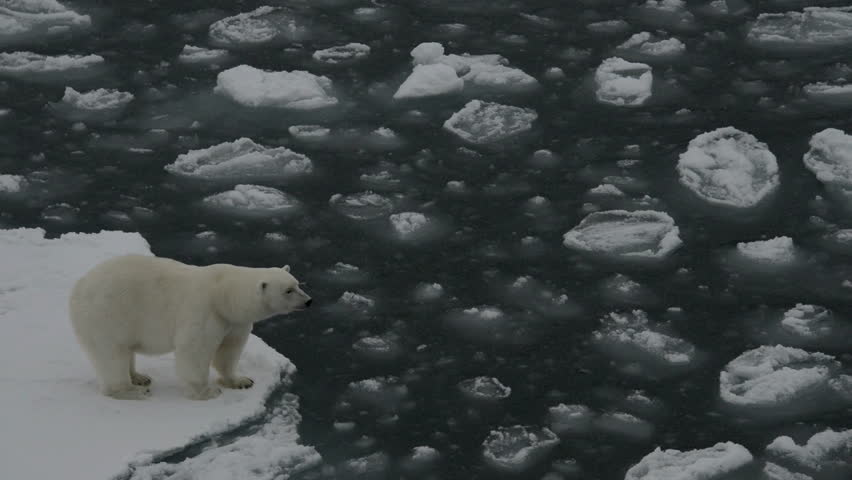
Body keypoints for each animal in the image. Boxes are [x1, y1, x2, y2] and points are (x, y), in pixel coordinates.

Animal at [69, 254, 311, 400]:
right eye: (288, 290)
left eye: (298, 283)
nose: (309, 301)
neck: (223, 293)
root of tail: (77, 288)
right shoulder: (204, 311)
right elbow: (195, 350)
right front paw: (208, 391)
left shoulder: (234, 322)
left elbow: (229, 349)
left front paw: (241, 381)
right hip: (106, 315)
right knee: (111, 354)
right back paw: (133, 390)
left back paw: (139, 376)